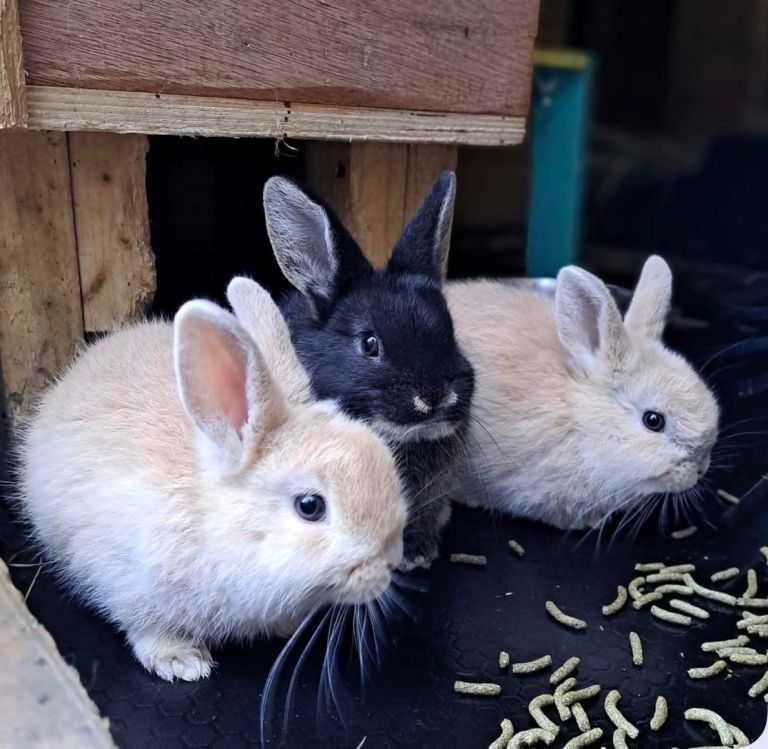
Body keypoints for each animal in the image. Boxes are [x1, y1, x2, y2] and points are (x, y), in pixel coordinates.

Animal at [17, 277, 406, 682]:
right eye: (310, 506)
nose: (391, 560)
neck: (217, 524)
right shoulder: (124, 578)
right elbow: (147, 626)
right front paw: (182, 662)